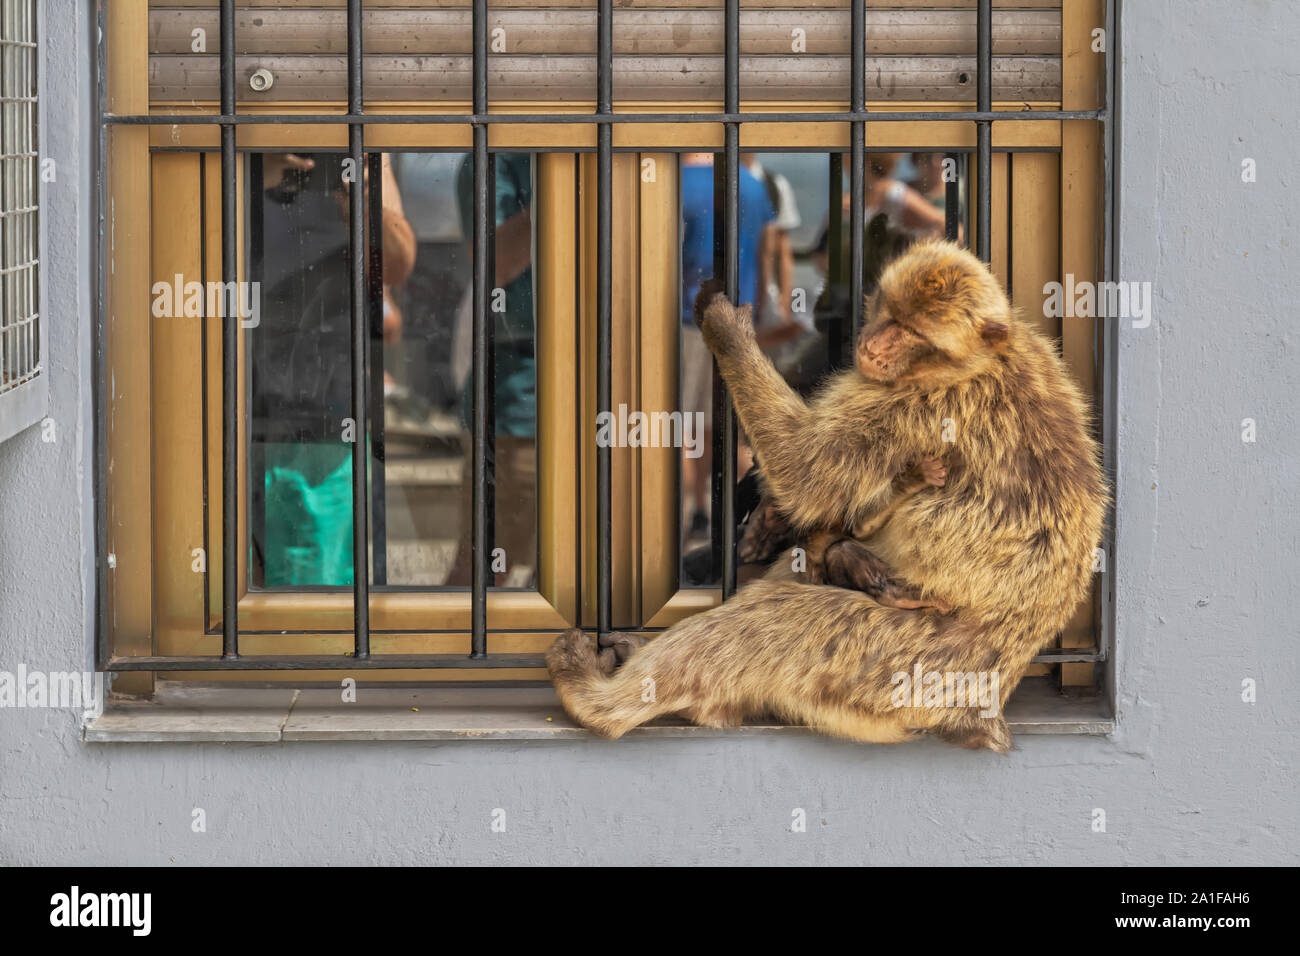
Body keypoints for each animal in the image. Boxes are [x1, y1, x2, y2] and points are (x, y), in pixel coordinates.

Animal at [548, 240, 1107, 753]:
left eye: (913, 332)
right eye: (890, 312)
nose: (876, 344)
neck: (974, 361)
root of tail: (981, 700)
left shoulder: (909, 404)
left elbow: (805, 473)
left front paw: (726, 330)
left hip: (904, 666)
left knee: (772, 620)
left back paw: (599, 702)